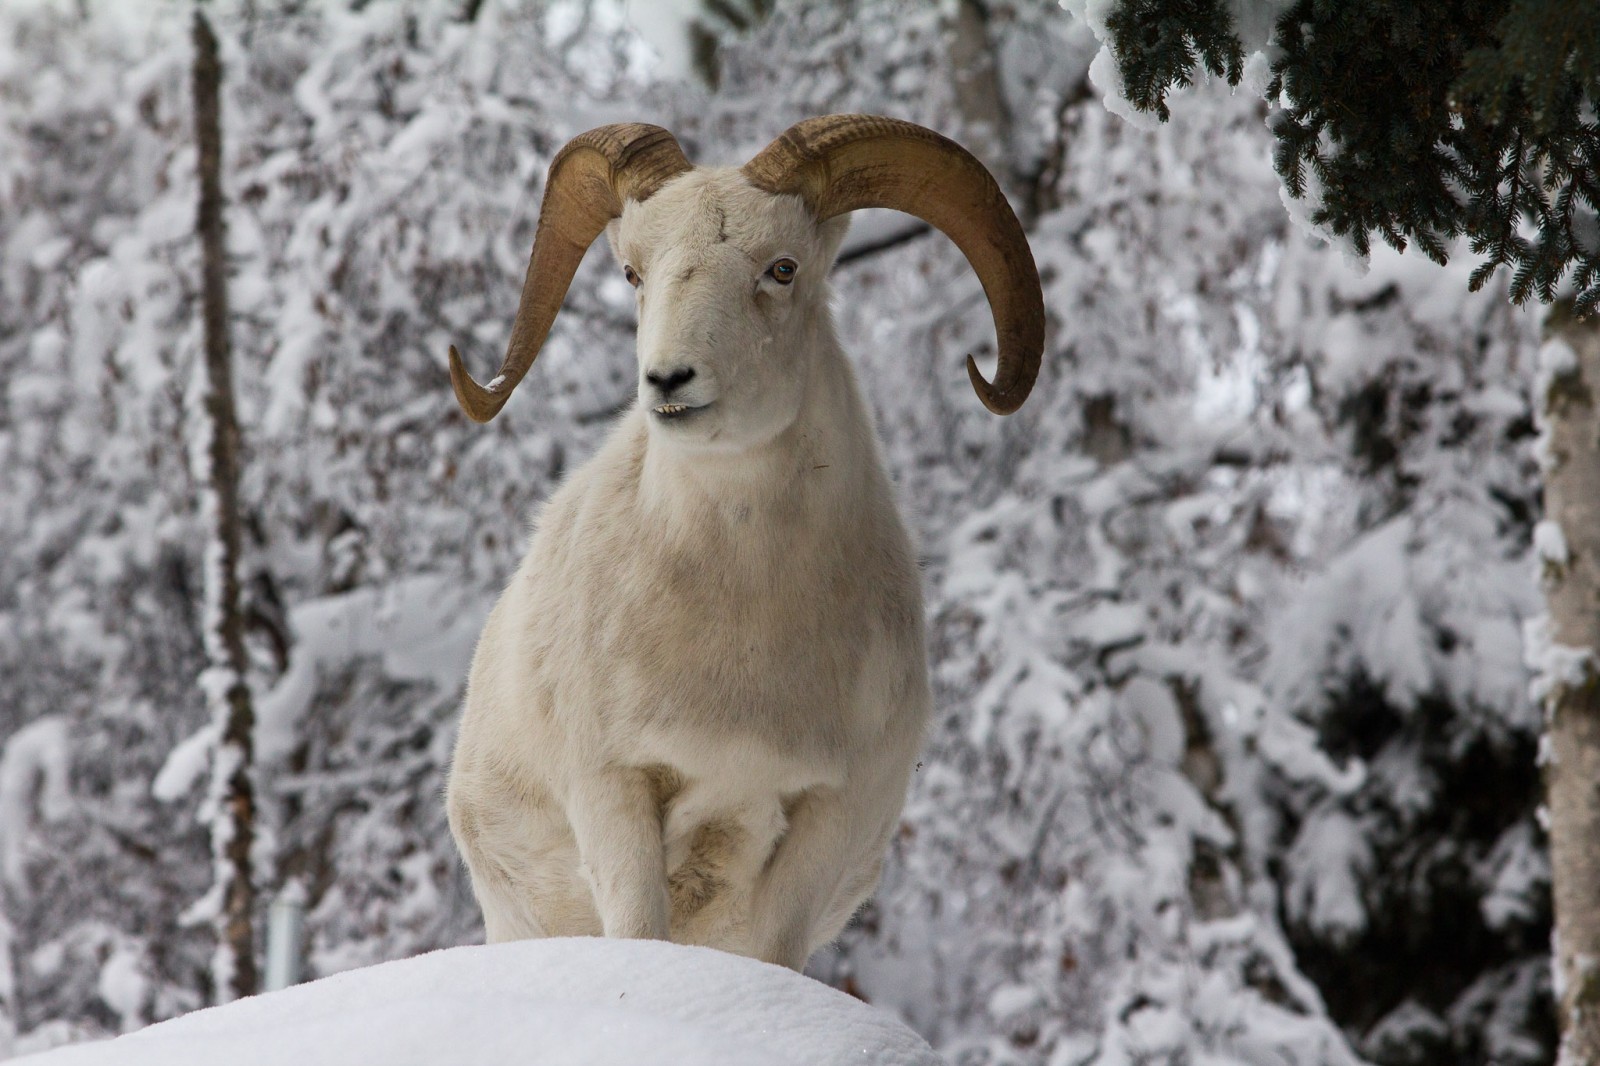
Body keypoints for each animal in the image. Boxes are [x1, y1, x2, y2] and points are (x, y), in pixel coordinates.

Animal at [444, 115, 1043, 970]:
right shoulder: (614, 791)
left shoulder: (825, 820)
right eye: (633, 272)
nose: (669, 381)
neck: (744, 639)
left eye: (782, 268)